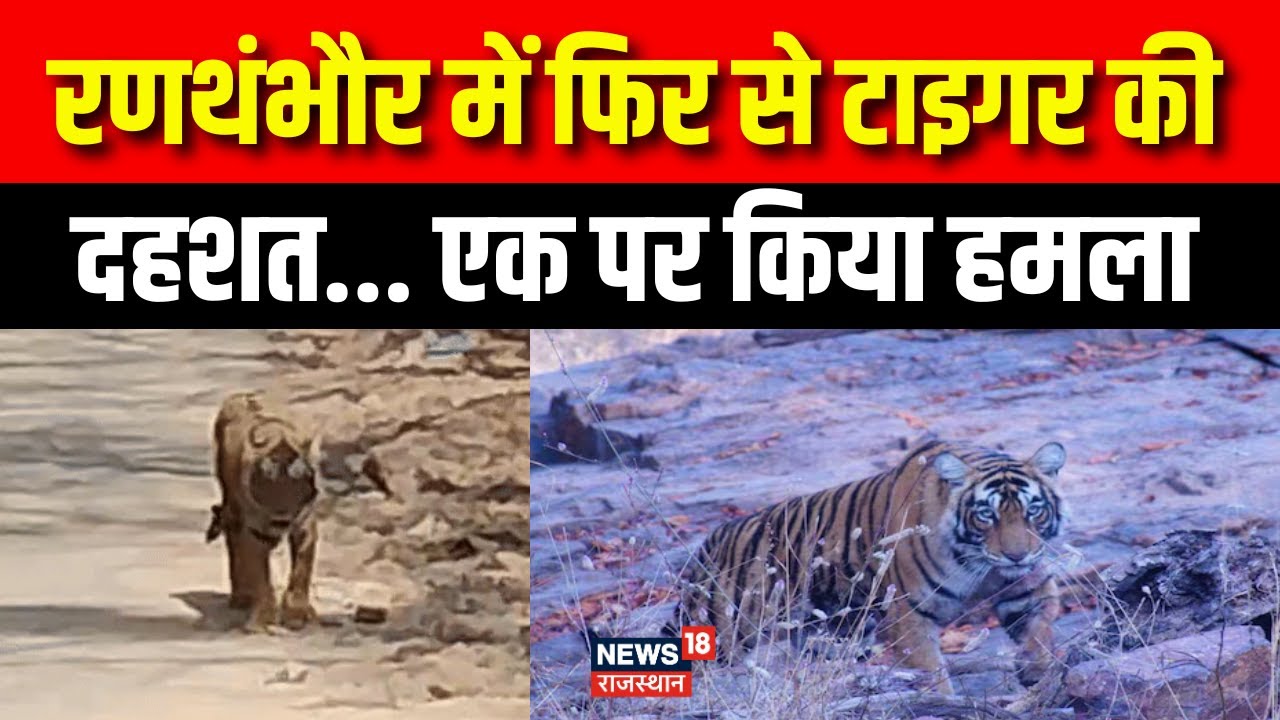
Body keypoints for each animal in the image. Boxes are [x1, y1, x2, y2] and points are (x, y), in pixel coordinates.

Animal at [205, 391, 324, 633]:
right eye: (267, 481)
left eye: (297, 480)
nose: (282, 518)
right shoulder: (253, 530)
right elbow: (260, 574)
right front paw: (262, 619)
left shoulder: (306, 524)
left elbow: (301, 570)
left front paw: (297, 615)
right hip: (232, 509)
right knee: (234, 543)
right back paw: (241, 598)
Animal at [667, 438, 1068, 694]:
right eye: (986, 515)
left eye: (1033, 510)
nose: (1017, 555)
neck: (979, 563)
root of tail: (707, 546)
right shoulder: (908, 616)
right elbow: (932, 674)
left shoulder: (1028, 591)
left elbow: (1039, 632)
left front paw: (1037, 673)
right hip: (723, 632)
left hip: (829, 636)